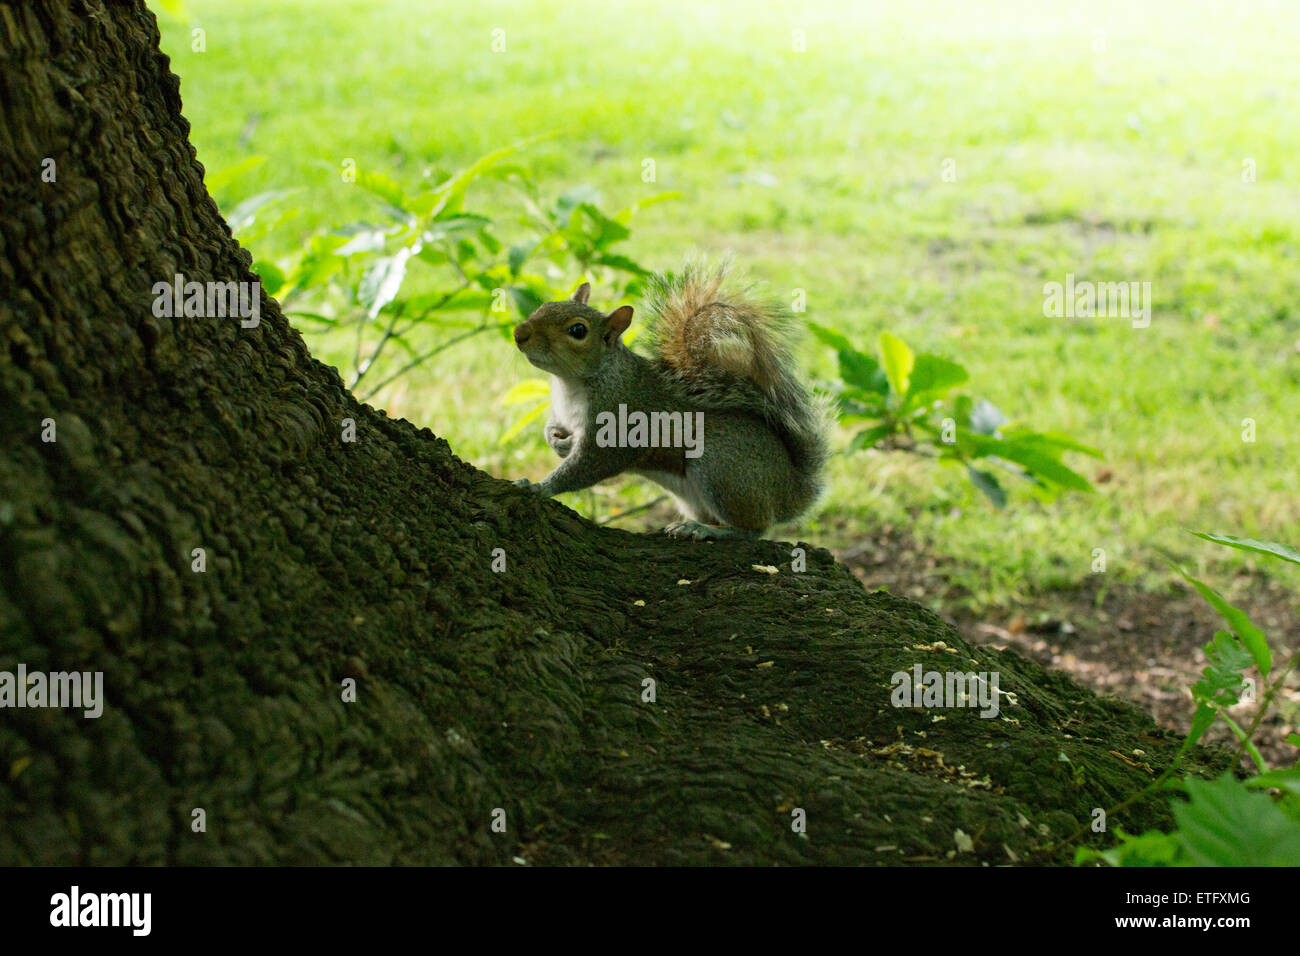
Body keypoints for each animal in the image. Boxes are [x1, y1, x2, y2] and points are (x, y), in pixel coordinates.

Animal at [511, 260, 832, 540]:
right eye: (544, 306)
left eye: (577, 331)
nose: (519, 333)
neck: (570, 383)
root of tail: (792, 492)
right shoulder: (563, 413)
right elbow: (554, 429)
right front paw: (557, 441)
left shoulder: (618, 421)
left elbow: (589, 465)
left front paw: (538, 486)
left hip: (721, 467)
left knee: (754, 529)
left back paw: (708, 531)